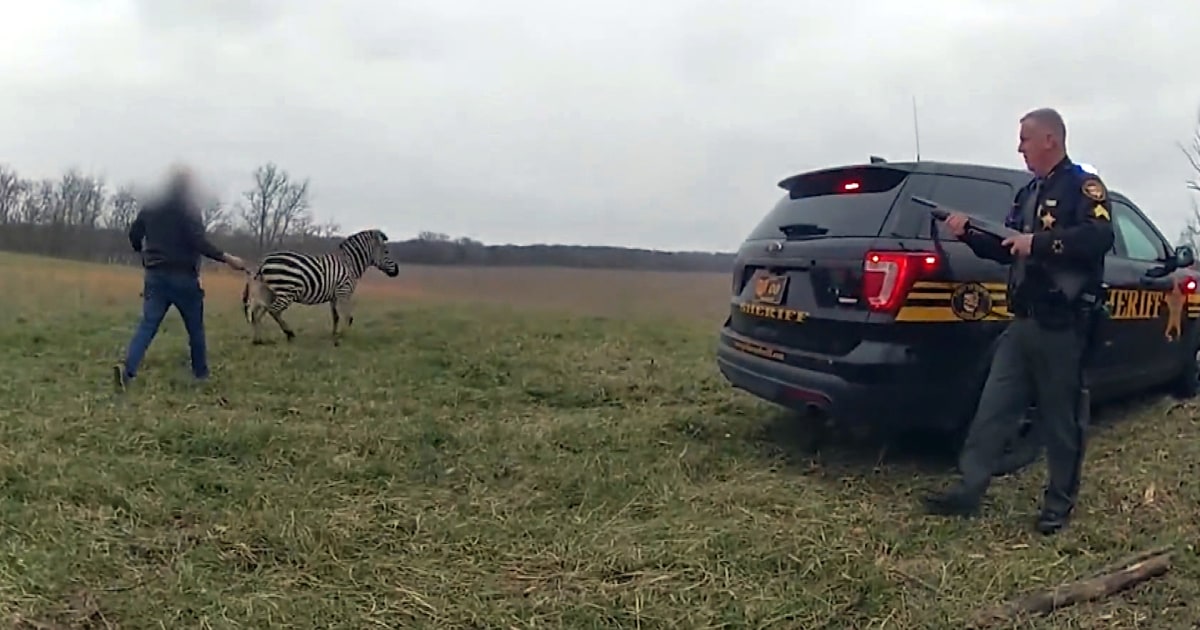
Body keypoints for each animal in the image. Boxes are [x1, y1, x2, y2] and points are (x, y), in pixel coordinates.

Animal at [241, 228, 400, 346]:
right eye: (386, 251)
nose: (397, 270)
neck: (350, 264)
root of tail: (264, 261)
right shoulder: (344, 291)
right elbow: (347, 316)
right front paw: (343, 336)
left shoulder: (334, 295)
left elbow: (336, 316)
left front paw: (335, 335)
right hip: (286, 291)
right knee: (273, 311)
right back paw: (287, 334)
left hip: (269, 292)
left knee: (258, 314)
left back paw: (259, 340)